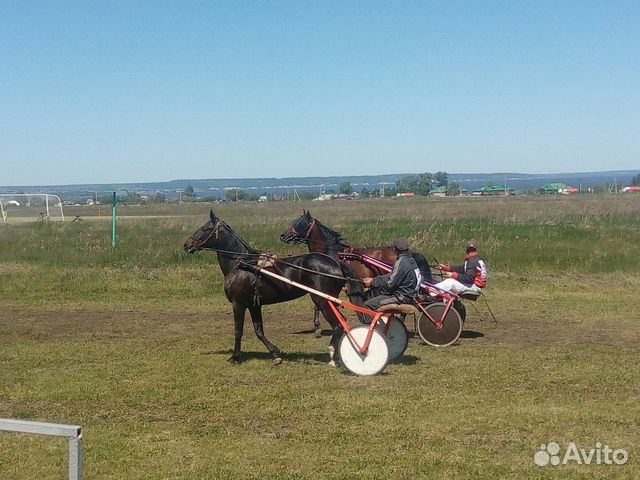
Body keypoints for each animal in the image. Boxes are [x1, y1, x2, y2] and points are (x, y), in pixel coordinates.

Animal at [184, 210, 365, 366]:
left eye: (205, 228)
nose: (187, 244)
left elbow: (238, 331)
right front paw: (275, 354)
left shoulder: (238, 303)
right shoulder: (254, 305)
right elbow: (259, 331)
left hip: (323, 300)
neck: (242, 264)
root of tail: (336, 262)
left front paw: (235, 357)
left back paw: (334, 357)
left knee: (338, 326)